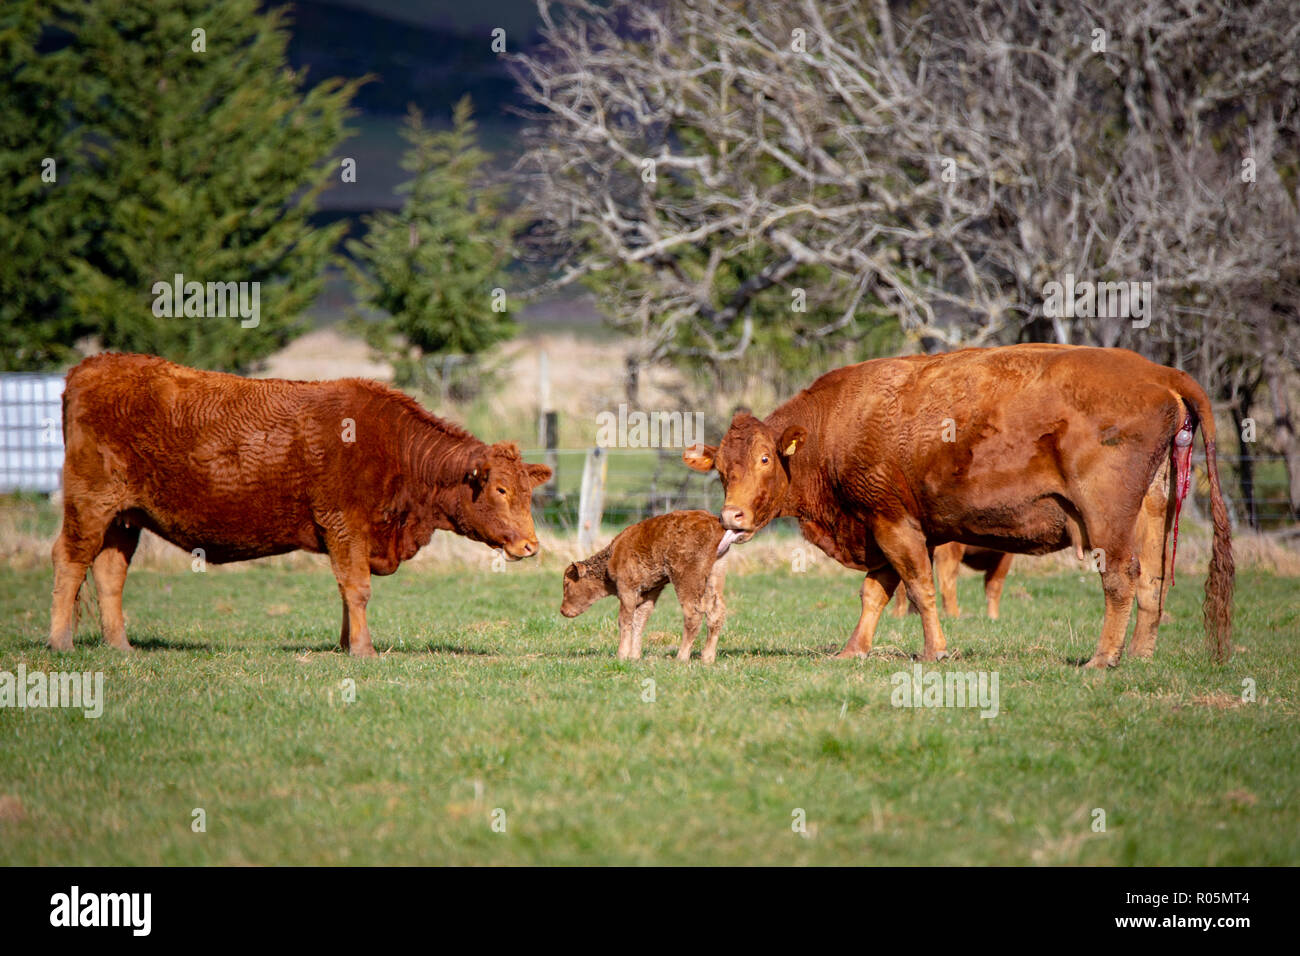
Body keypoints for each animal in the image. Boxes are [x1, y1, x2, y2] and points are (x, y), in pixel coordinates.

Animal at [49, 353, 552, 657]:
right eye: (500, 490)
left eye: (528, 491)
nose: (530, 545)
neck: (395, 449)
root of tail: (92, 366)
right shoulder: (344, 524)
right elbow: (357, 588)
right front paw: (364, 651)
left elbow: (347, 591)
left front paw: (347, 644)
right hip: (89, 504)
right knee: (70, 560)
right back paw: (60, 642)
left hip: (124, 519)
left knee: (110, 573)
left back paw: (121, 646)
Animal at [683, 344, 1233, 669]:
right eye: (722, 469)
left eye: (764, 459)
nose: (731, 517)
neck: (836, 424)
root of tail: (1160, 373)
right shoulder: (881, 527)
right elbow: (874, 593)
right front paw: (852, 650)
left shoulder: (894, 524)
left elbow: (919, 588)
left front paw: (936, 651)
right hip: (1153, 510)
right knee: (1152, 581)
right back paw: (1139, 656)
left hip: (1106, 519)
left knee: (1121, 578)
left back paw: (1102, 660)